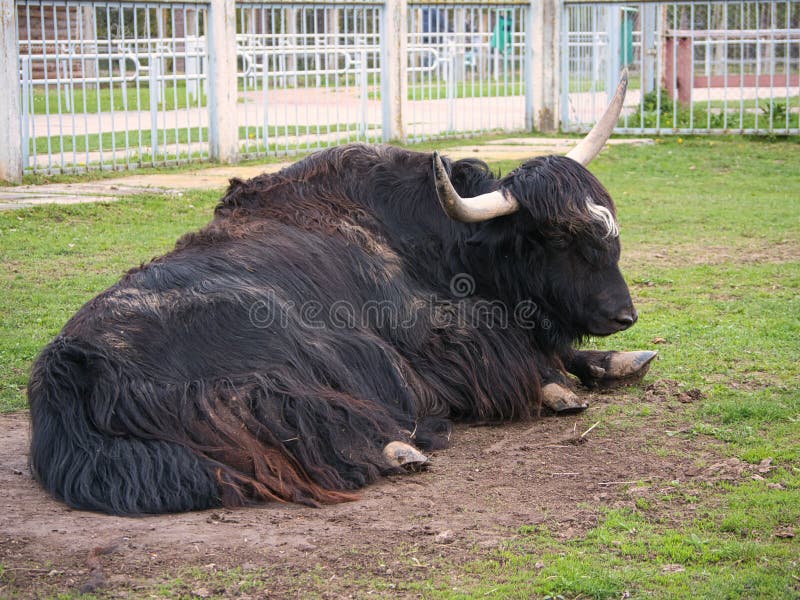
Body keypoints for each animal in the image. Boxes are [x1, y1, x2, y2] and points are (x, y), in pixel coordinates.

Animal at [28, 72, 655, 515]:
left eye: (607, 224)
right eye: (558, 237)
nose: (623, 315)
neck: (429, 235)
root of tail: (70, 366)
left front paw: (624, 359)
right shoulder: (426, 333)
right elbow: (504, 353)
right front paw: (557, 388)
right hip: (282, 364)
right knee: (302, 422)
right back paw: (397, 449)